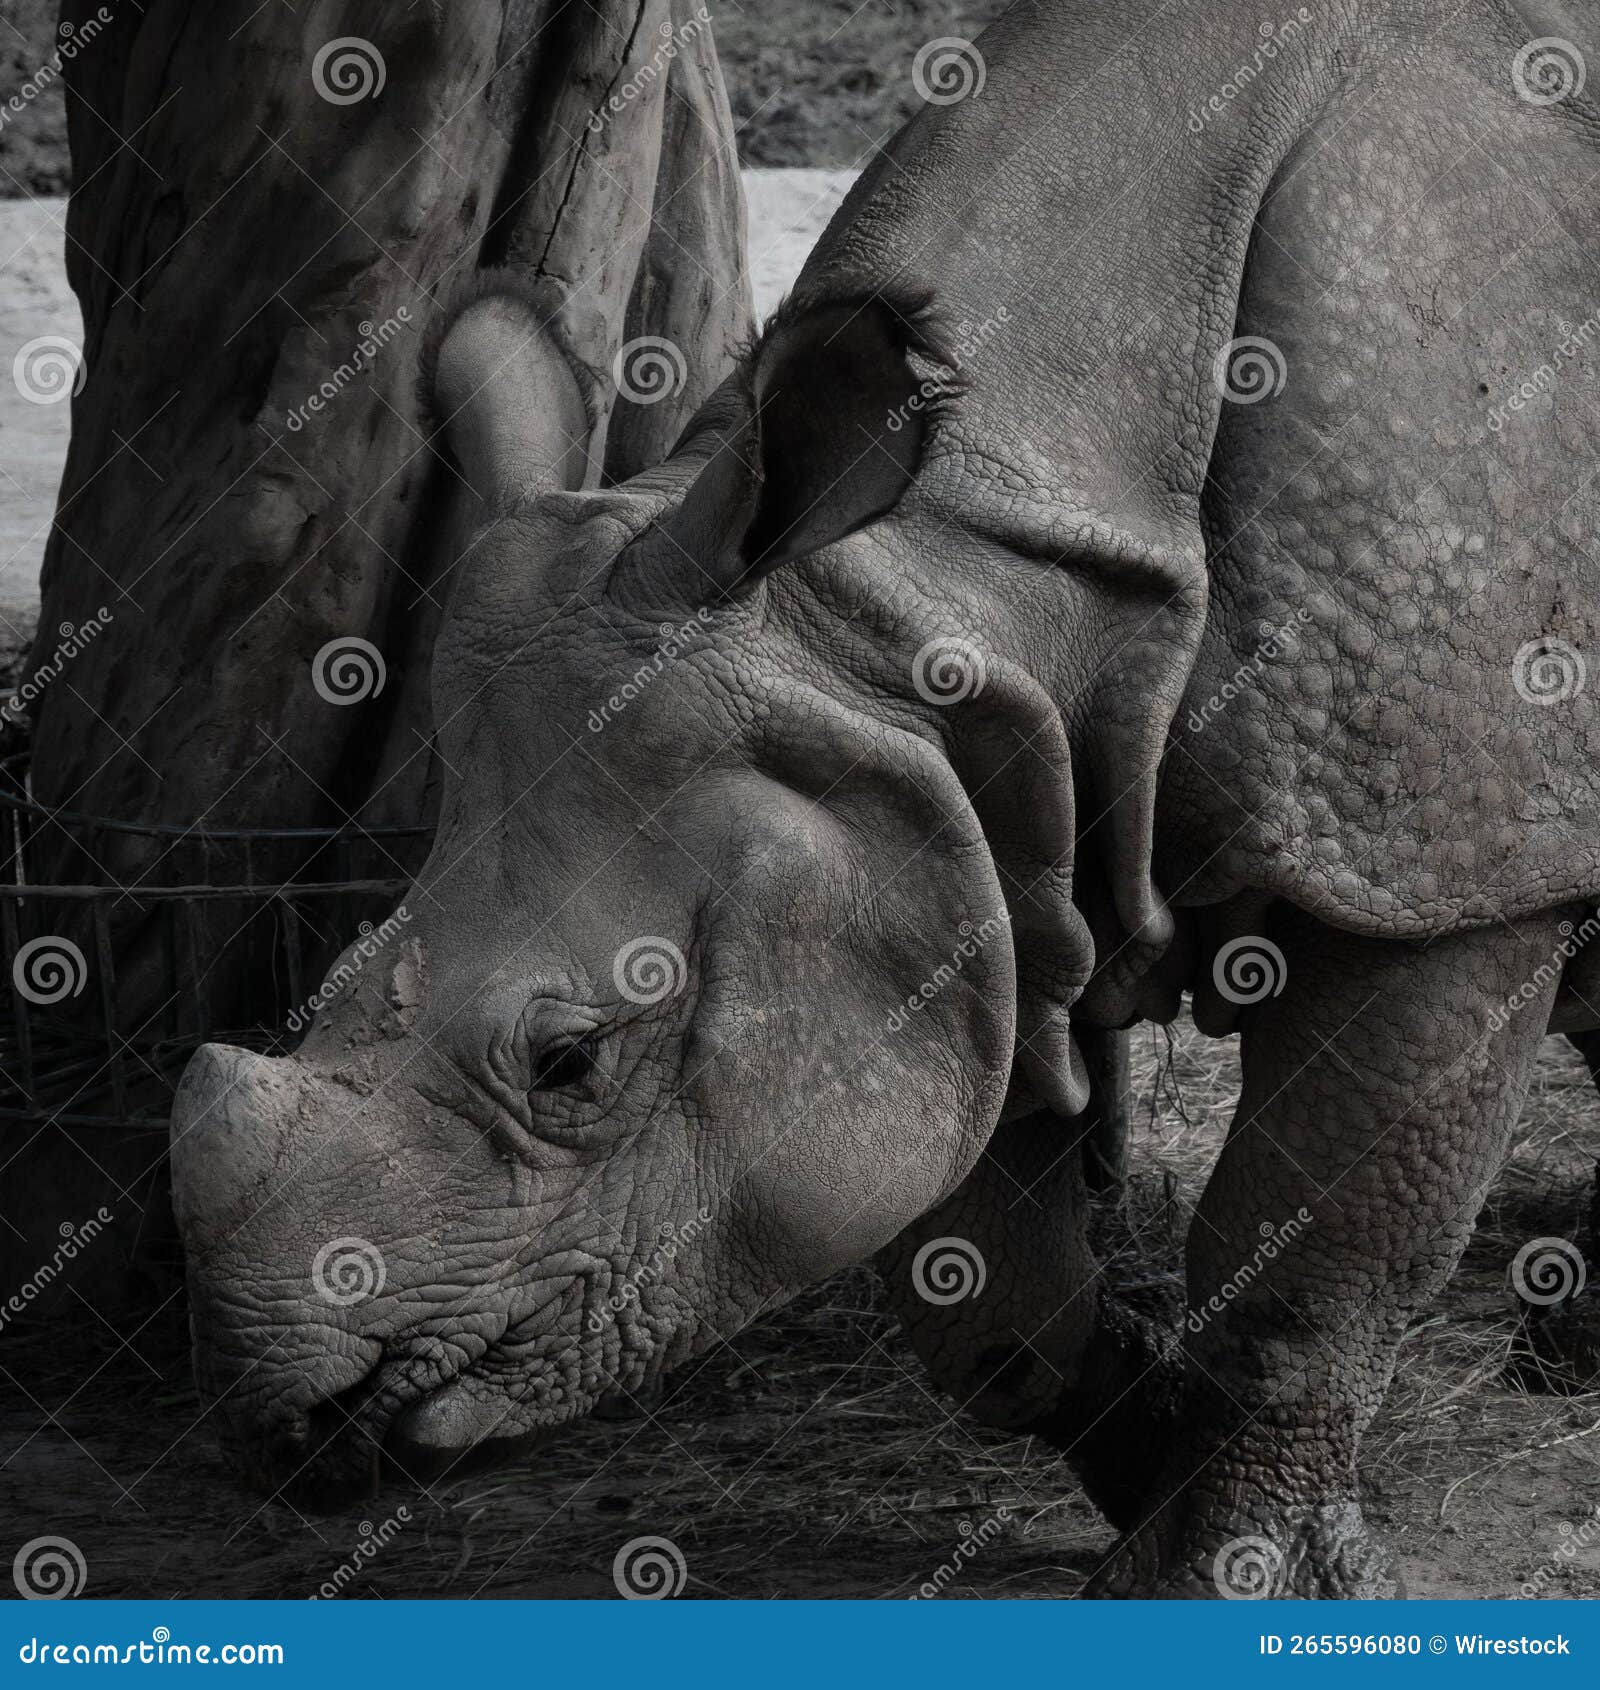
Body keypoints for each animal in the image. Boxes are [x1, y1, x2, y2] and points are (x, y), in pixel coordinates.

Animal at [171, 0, 1600, 1597]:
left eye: (569, 1061)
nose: (286, 1425)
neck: (957, 576)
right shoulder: (949, 813)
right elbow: (986, 1298)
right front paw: (1143, 1455)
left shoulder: (1439, 867)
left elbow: (1307, 1256)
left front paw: (1211, 1571)